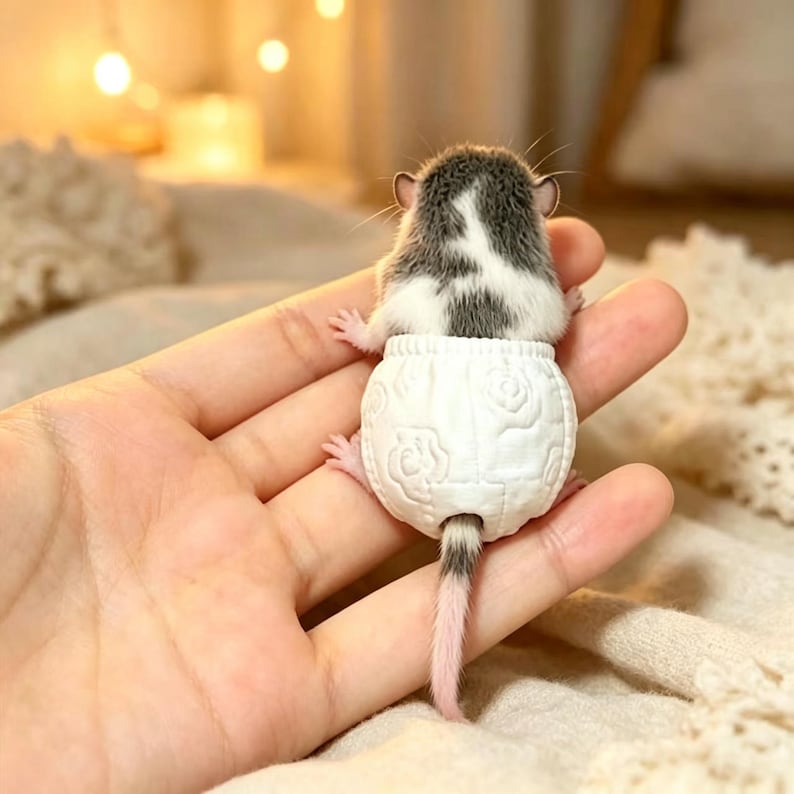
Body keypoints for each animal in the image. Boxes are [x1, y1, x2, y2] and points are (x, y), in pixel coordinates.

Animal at [324, 144, 584, 721]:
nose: (482, 149)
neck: (475, 233)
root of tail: (465, 506)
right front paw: (578, 299)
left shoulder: (392, 288)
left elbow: (372, 333)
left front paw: (349, 328)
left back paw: (349, 460)